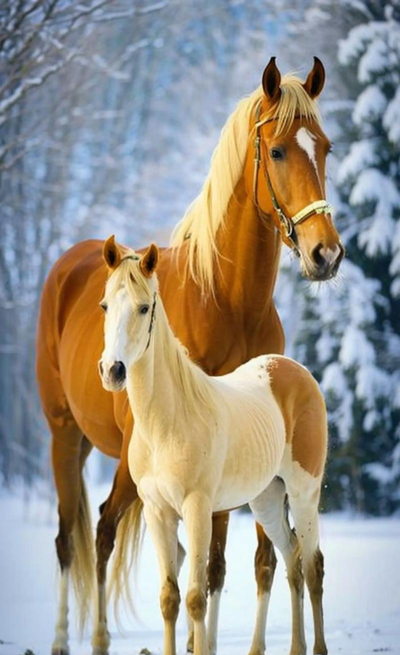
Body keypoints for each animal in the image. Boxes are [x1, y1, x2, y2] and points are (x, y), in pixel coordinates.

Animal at [98, 240, 329, 655]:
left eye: (143, 307)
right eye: (105, 305)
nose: (113, 371)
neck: (166, 423)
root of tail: (295, 370)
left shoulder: (197, 508)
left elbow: (196, 598)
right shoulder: (158, 512)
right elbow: (170, 599)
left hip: (304, 493)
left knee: (312, 566)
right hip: (267, 500)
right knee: (292, 561)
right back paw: (296, 648)